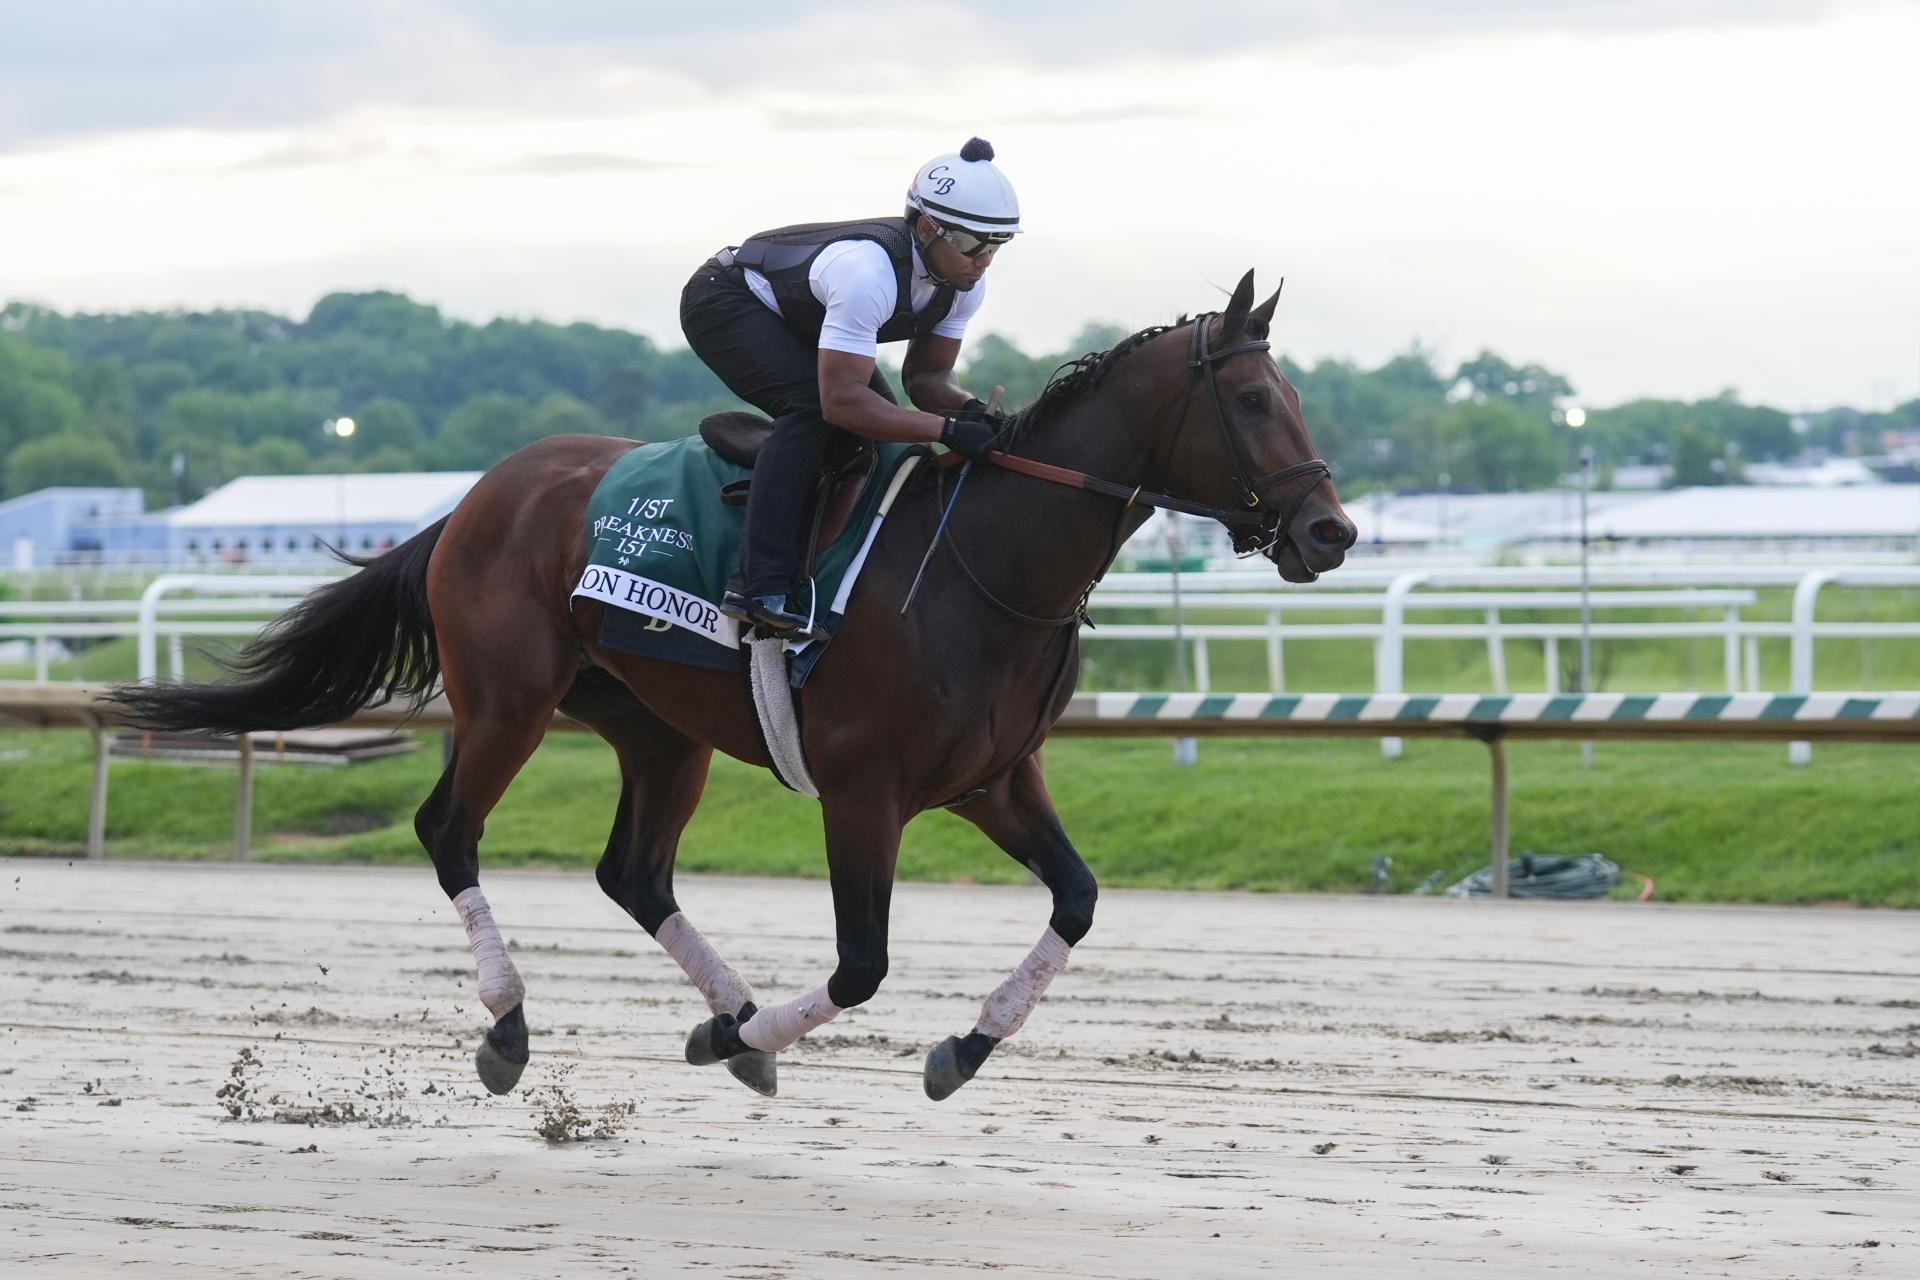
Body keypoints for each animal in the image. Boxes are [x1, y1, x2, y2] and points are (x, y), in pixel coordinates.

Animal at [108, 269, 1357, 1102]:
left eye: (1297, 393)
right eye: (1254, 401)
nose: (1330, 530)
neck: (986, 562)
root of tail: (474, 497)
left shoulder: (995, 778)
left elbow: (1080, 898)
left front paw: (955, 1047)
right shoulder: (866, 791)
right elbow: (862, 964)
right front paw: (761, 1041)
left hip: (663, 729)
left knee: (632, 870)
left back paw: (729, 1009)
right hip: (508, 702)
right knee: (448, 829)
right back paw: (515, 1027)